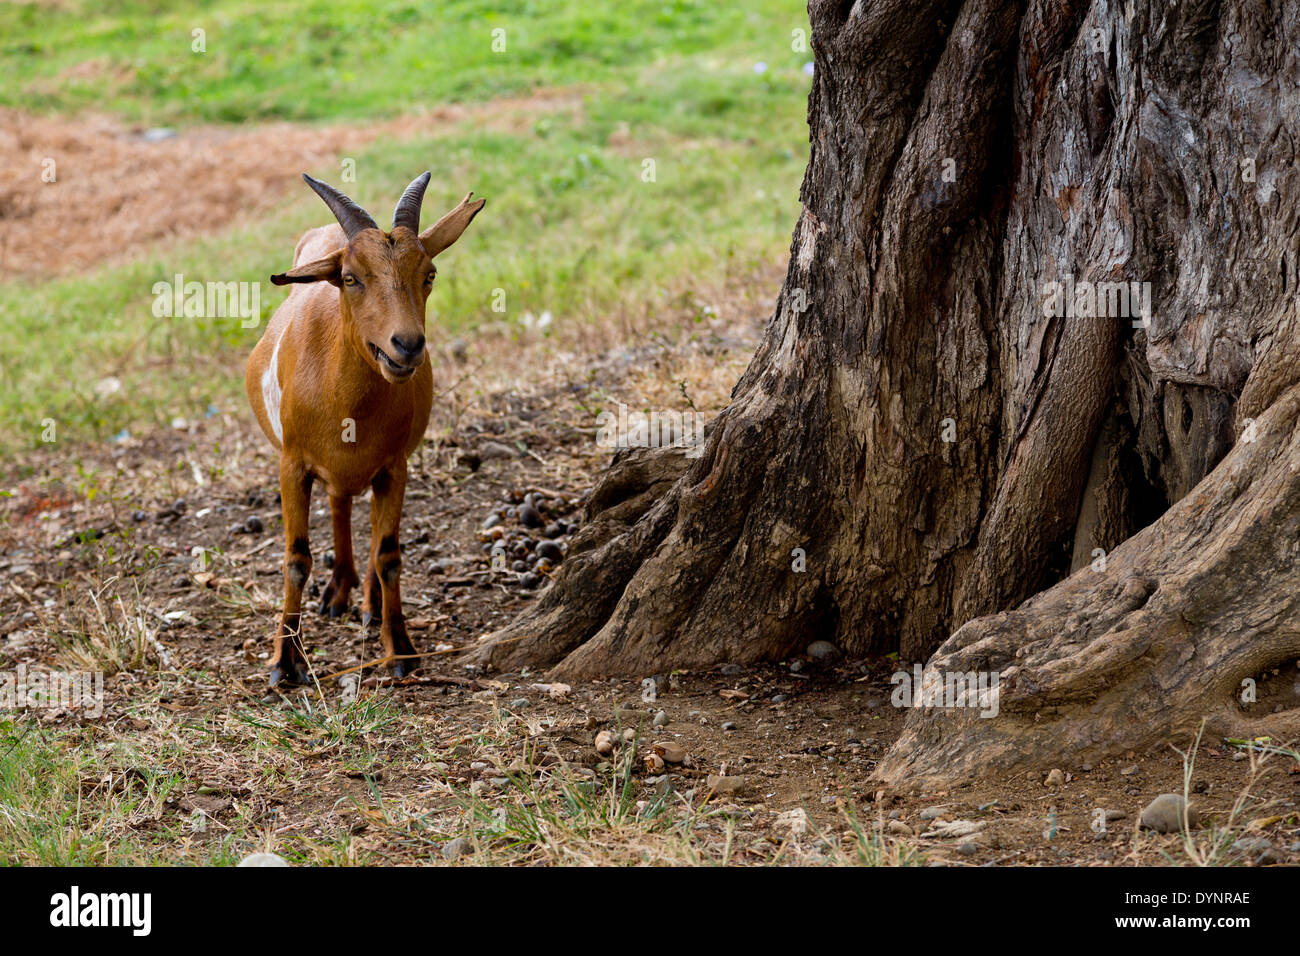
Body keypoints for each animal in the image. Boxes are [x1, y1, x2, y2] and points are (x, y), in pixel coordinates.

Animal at [245, 172, 485, 686]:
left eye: (429, 274)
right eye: (351, 278)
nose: (407, 345)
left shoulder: (394, 467)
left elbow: (389, 554)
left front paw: (401, 651)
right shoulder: (291, 465)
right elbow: (295, 559)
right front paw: (284, 661)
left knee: (363, 524)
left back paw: (366, 604)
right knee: (338, 504)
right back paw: (337, 593)